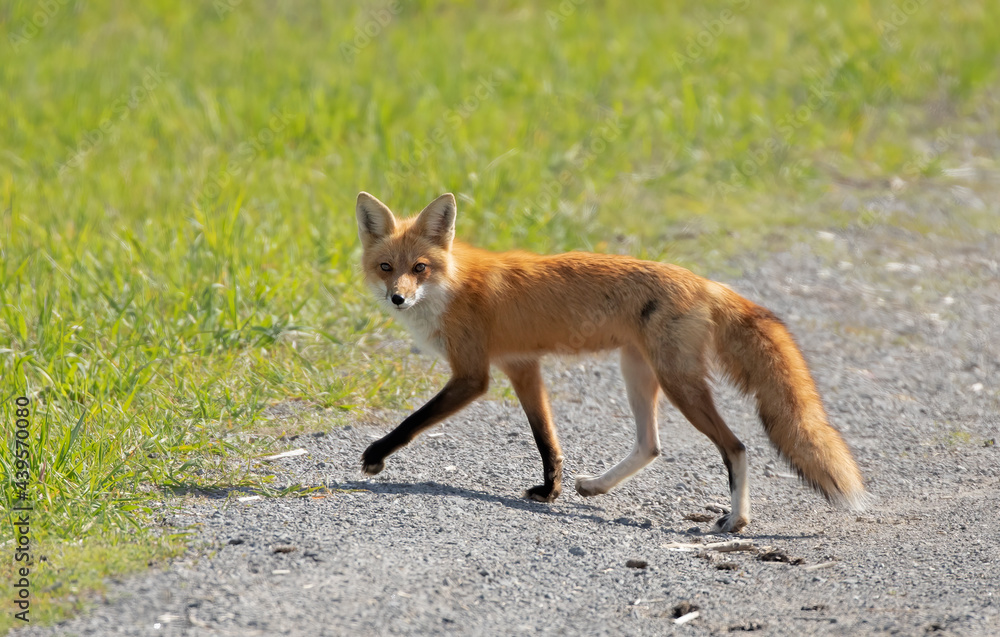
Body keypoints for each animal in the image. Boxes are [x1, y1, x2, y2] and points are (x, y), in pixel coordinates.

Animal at [355, 191, 866, 532]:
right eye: (386, 268)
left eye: (420, 268)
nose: (398, 298)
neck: (453, 286)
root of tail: (703, 282)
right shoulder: (522, 366)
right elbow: (547, 441)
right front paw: (550, 492)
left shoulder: (472, 375)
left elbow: (413, 421)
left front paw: (375, 457)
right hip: (637, 372)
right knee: (650, 446)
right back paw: (596, 487)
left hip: (678, 383)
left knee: (736, 447)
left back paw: (736, 520)